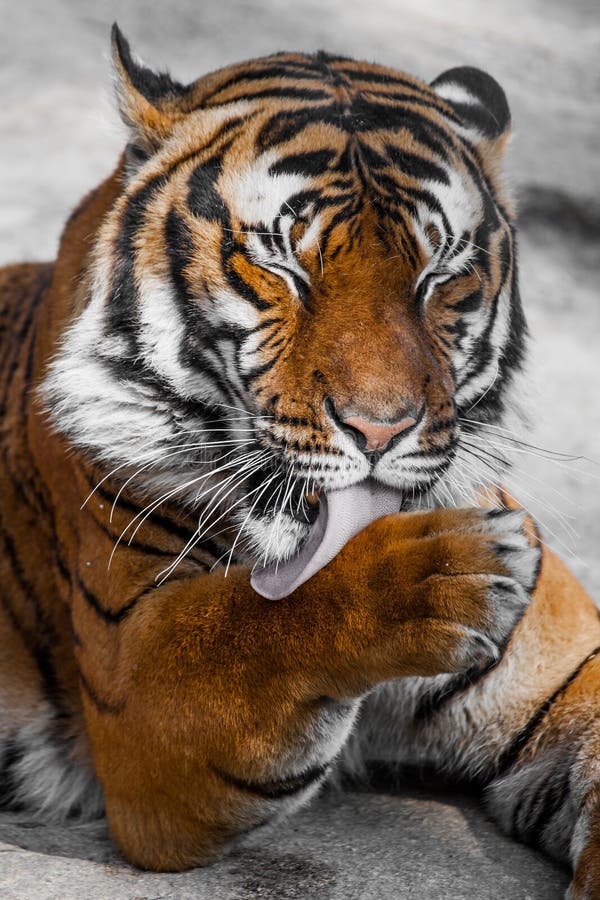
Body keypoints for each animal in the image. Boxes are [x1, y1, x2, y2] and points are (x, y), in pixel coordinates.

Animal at [1, 23, 599, 897]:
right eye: (283, 268)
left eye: (439, 277)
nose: (380, 430)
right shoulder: (137, 691)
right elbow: (255, 620)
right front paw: (445, 573)